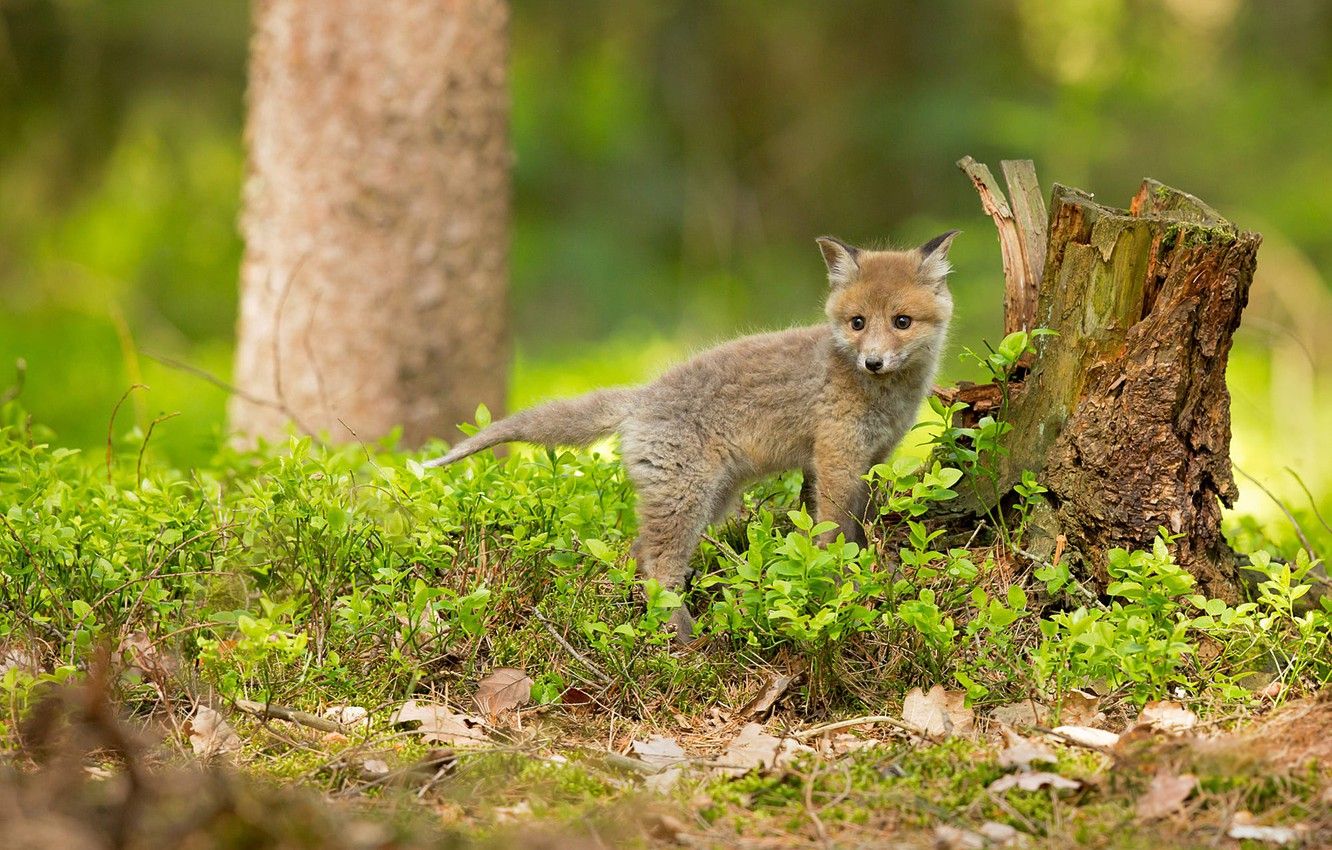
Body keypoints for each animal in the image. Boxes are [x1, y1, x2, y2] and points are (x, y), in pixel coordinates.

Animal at [425, 231, 959, 640]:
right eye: (857, 323)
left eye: (902, 322)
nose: (873, 361)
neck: (877, 394)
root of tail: (642, 397)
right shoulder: (835, 457)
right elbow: (831, 531)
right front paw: (833, 580)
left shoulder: (873, 456)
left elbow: (863, 522)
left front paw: (874, 568)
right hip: (688, 497)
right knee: (658, 565)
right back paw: (684, 636)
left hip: (712, 498)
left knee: (640, 553)